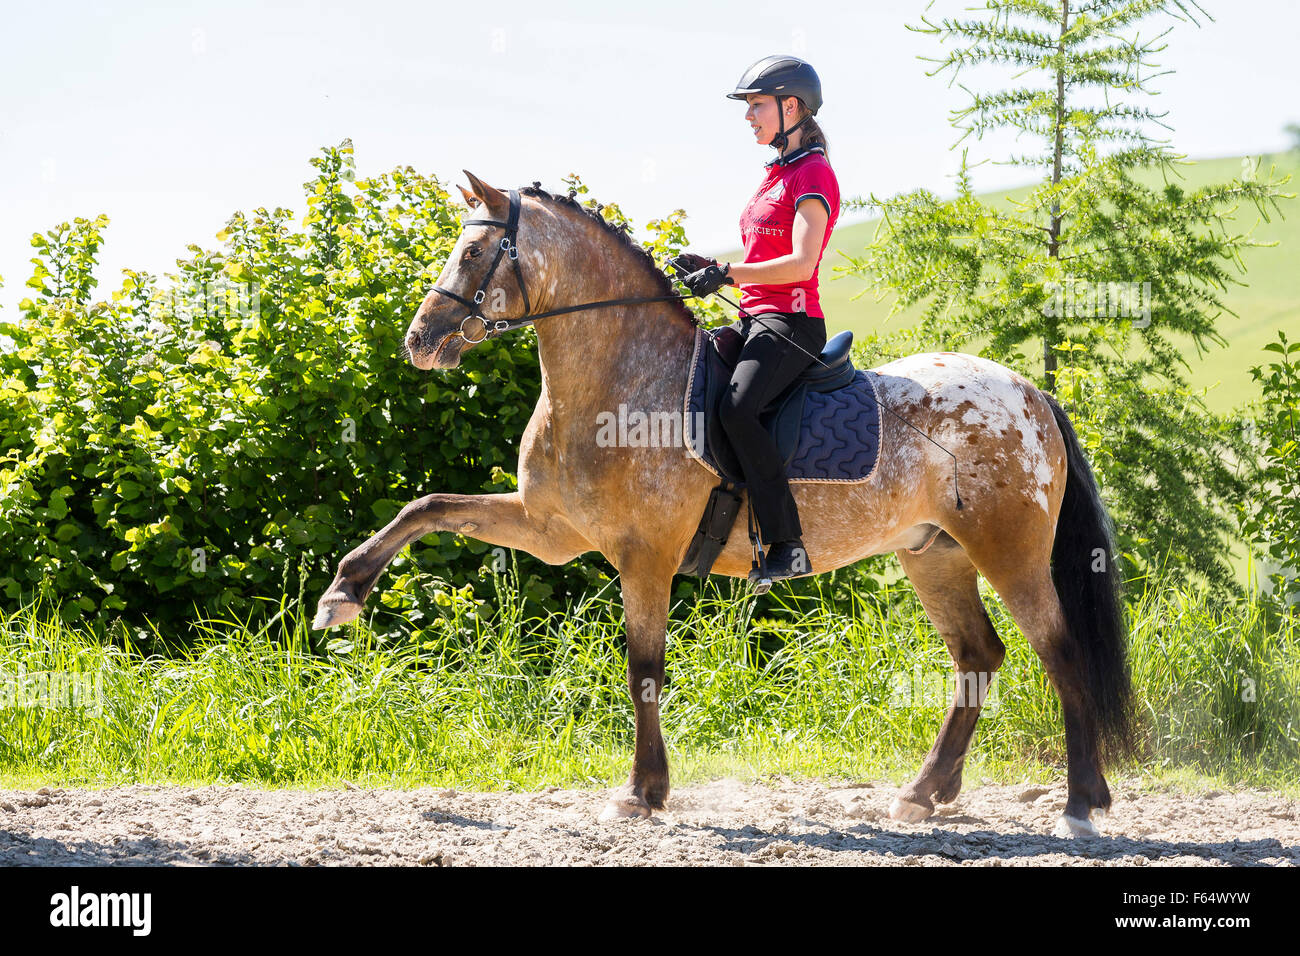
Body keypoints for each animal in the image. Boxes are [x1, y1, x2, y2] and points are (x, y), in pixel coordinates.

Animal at [313, 171, 1136, 837]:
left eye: (479, 252)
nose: (421, 341)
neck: (621, 378)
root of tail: (1031, 394)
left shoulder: (644, 556)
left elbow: (643, 667)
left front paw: (641, 792)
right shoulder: (549, 529)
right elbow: (427, 506)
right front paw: (342, 594)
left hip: (1009, 551)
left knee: (1060, 653)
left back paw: (1080, 804)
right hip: (934, 555)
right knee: (977, 657)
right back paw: (925, 793)